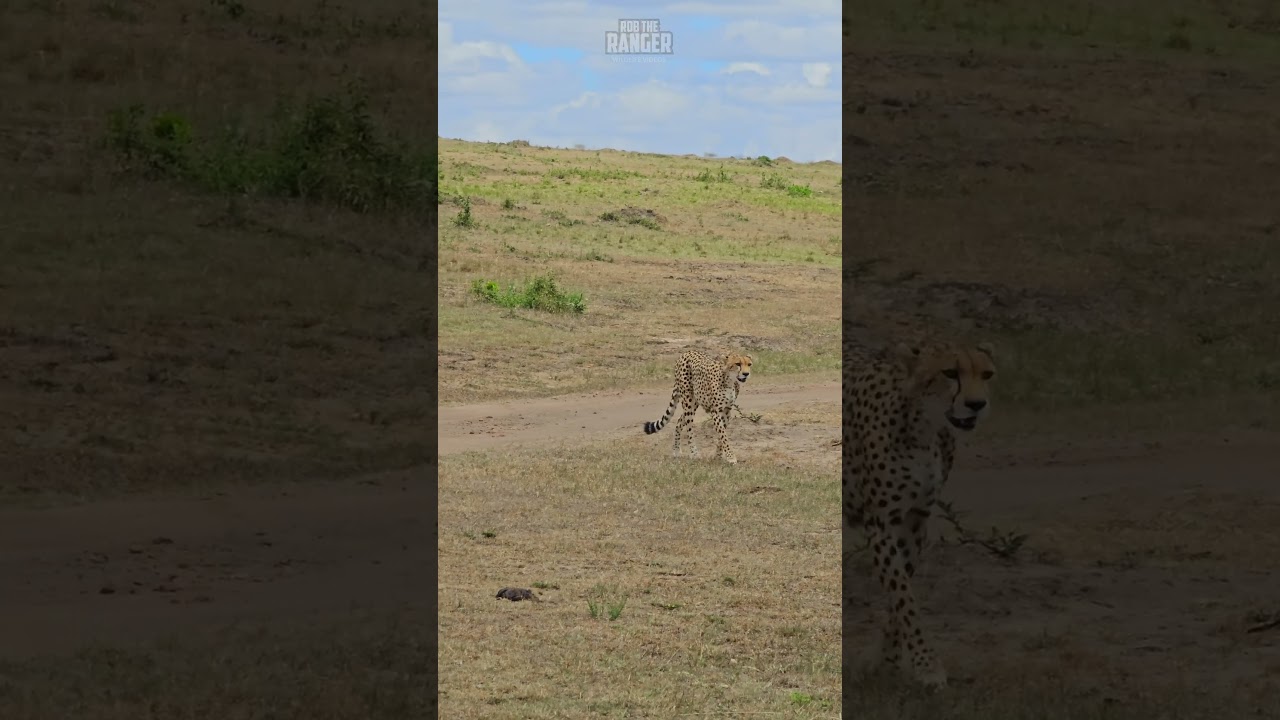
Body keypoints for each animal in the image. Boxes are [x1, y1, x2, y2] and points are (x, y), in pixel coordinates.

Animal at [842, 339, 997, 688]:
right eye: (950, 372)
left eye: (987, 374)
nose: (977, 404)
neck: (923, 429)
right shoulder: (881, 524)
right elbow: (905, 598)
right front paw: (928, 667)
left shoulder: (914, 521)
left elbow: (899, 599)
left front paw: (885, 664)